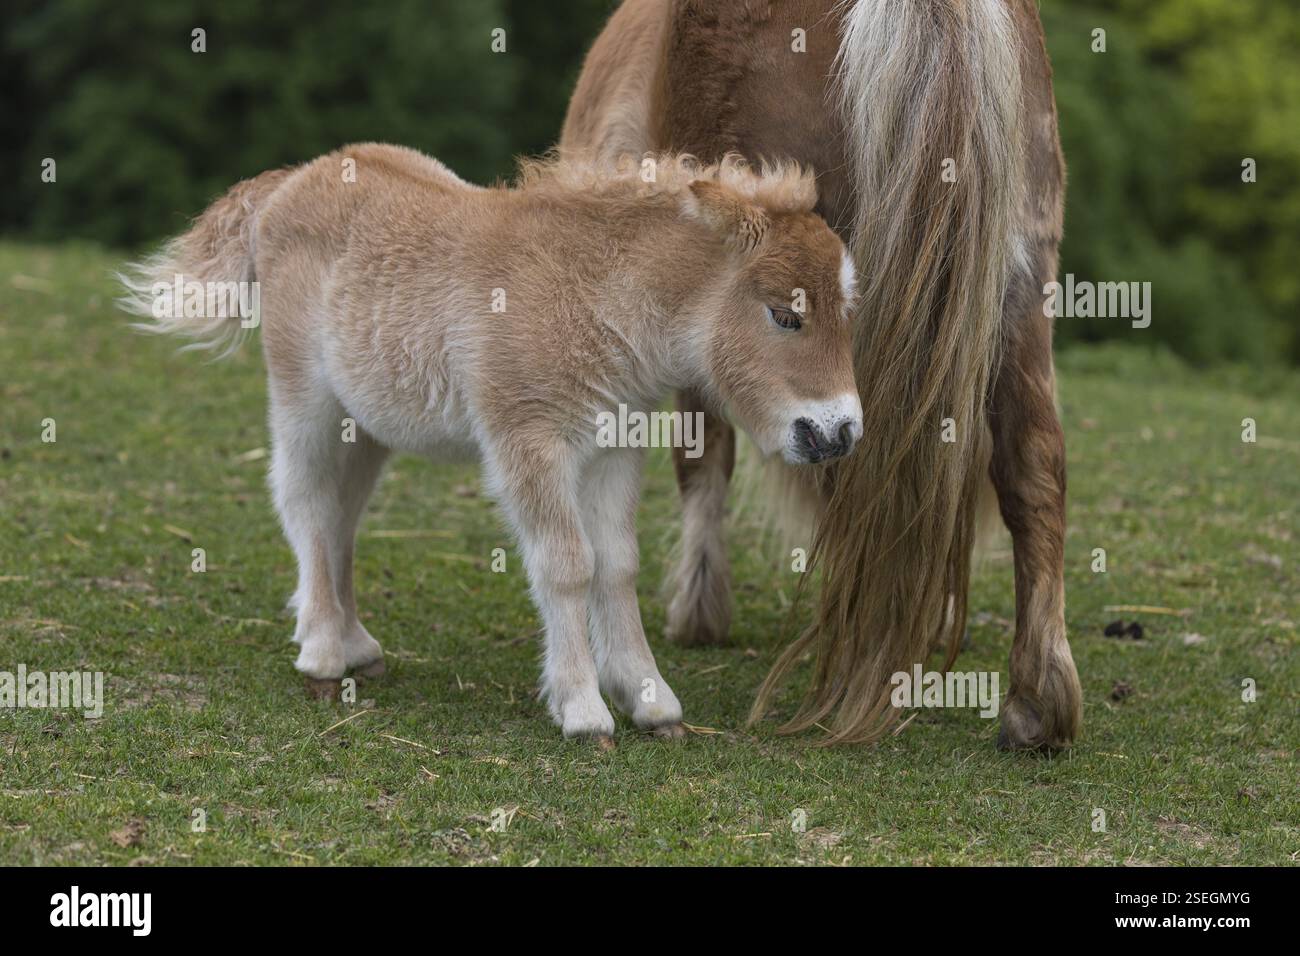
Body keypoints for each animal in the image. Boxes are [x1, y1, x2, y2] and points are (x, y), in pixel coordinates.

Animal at [120, 143, 862, 743]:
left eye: (847, 309)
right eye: (785, 315)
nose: (837, 432)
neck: (592, 295)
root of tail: (291, 179)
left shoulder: (615, 444)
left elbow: (617, 563)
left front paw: (651, 702)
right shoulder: (527, 439)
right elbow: (567, 563)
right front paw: (583, 710)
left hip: (369, 423)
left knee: (342, 516)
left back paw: (356, 644)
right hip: (306, 395)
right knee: (303, 498)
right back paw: (324, 655)